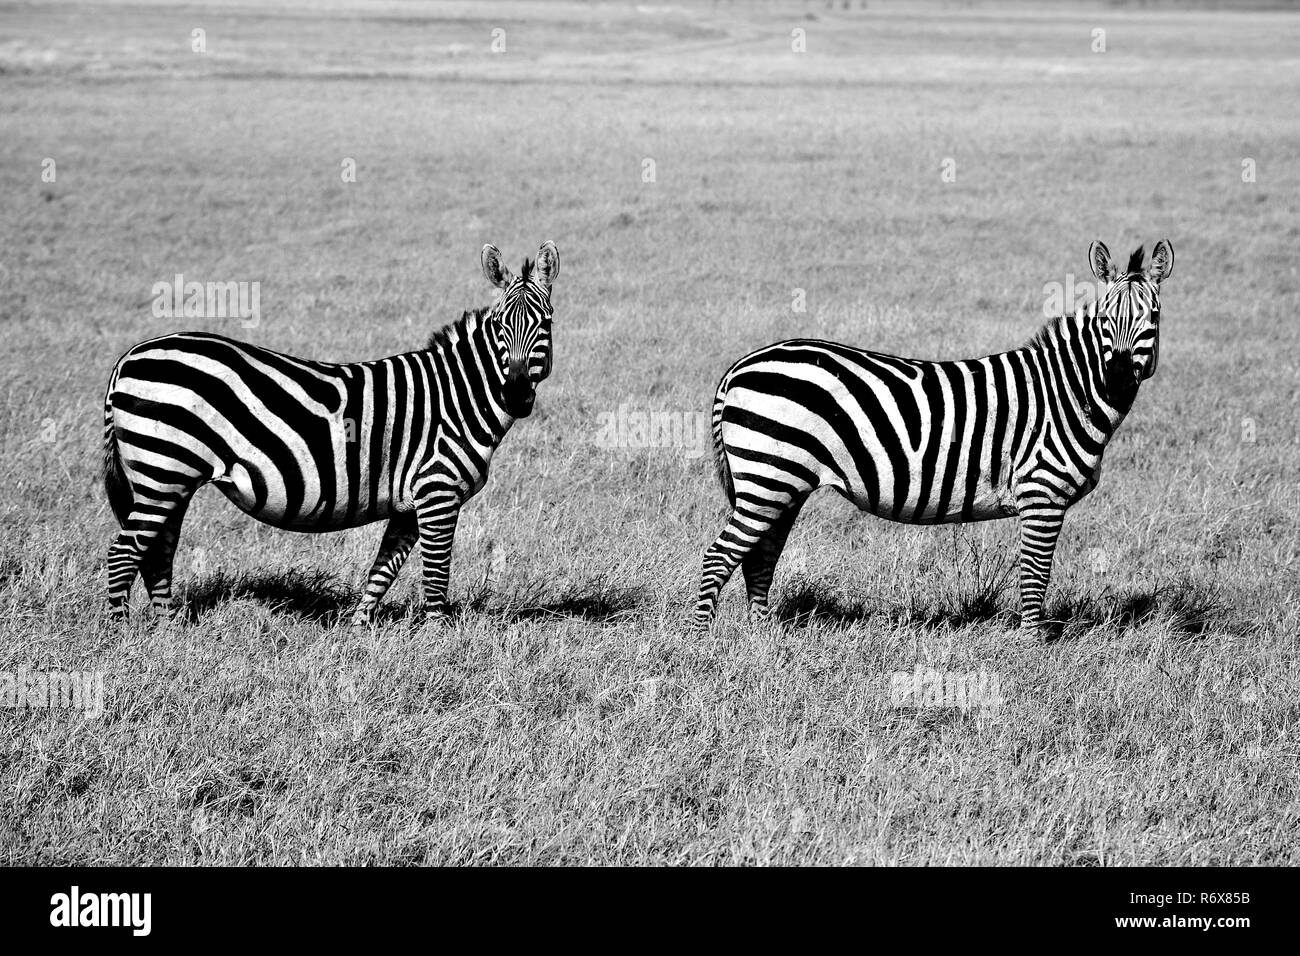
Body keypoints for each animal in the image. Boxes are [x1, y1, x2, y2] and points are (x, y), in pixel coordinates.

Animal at [102, 241, 558, 624]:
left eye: (545, 325)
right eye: (500, 327)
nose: (517, 395)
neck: (459, 396)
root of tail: (128, 356)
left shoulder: (409, 504)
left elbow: (383, 569)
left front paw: (358, 631)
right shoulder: (438, 492)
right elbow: (436, 573)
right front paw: (440, 639)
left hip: (170, 479)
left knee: (157, 551)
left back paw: (170, 630)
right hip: (163, 470)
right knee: (123, 552)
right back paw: (122, 634)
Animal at [693, 239, 1173, 632]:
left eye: (1151, 318)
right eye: (1106, 320)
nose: (1116, 378)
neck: (1067, 391)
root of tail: (739, 367)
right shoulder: (1042, 494)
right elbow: (1036, 573)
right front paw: (1032, 646)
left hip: (782, 483)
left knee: (759, 556)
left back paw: (763, 638)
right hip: (768, 477)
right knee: (721, 555)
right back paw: (702, 641)